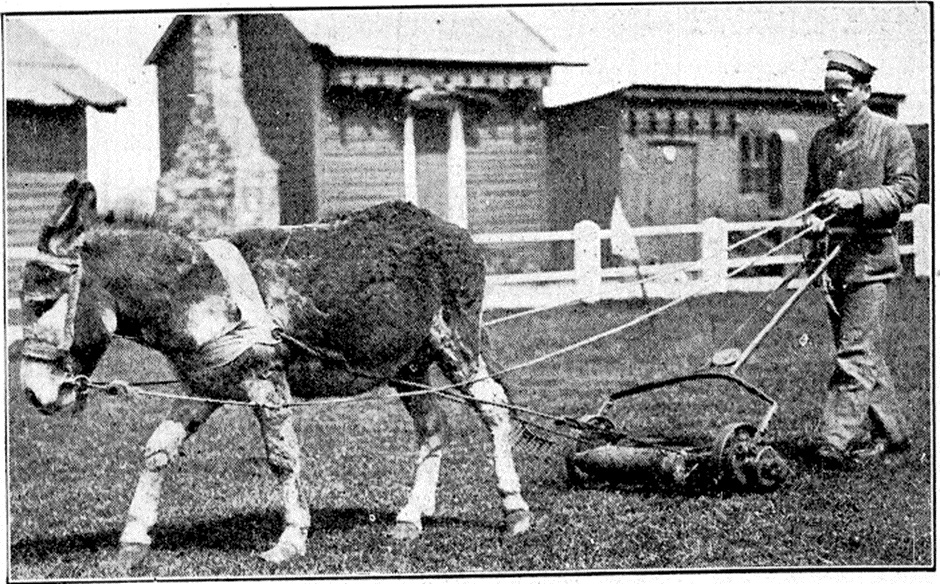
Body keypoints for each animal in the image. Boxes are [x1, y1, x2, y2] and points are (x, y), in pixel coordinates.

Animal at [19, 179, 532, 570]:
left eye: (41, 304)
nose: (33, 394)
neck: (197, 289)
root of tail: (452, 228)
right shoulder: (202, 385)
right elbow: (157, 450)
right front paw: (133, 539)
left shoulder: (265, 380)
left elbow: (283, 458)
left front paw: (290, 541)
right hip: (407, 364)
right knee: (433, 428)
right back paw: (411, 518)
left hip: (455, 342)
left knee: (493, 408)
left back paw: (515, 510)